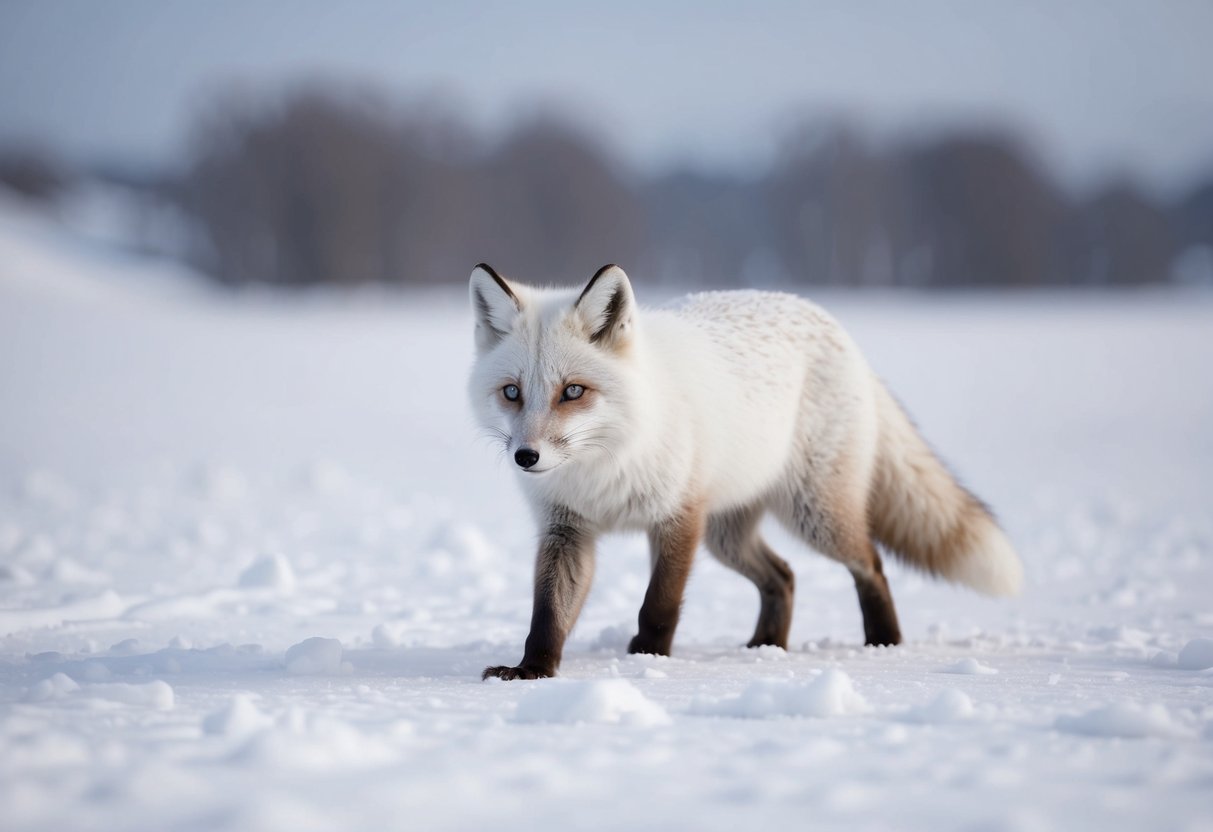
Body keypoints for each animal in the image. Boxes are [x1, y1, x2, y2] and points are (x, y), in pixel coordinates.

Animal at [469, 262, 1023, 680]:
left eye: (573, 392)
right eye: (512, 392)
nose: (526, 456)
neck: (603, 466)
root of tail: (833, 325)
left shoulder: (680, 517)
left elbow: (659, 605)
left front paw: (648, 660)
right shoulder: (568, 530)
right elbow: (547, 614)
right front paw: (533, 670)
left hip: (813, 517)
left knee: (871, 563)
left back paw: (883, 644)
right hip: (728, 536)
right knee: (784, 575)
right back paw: (766, 647)